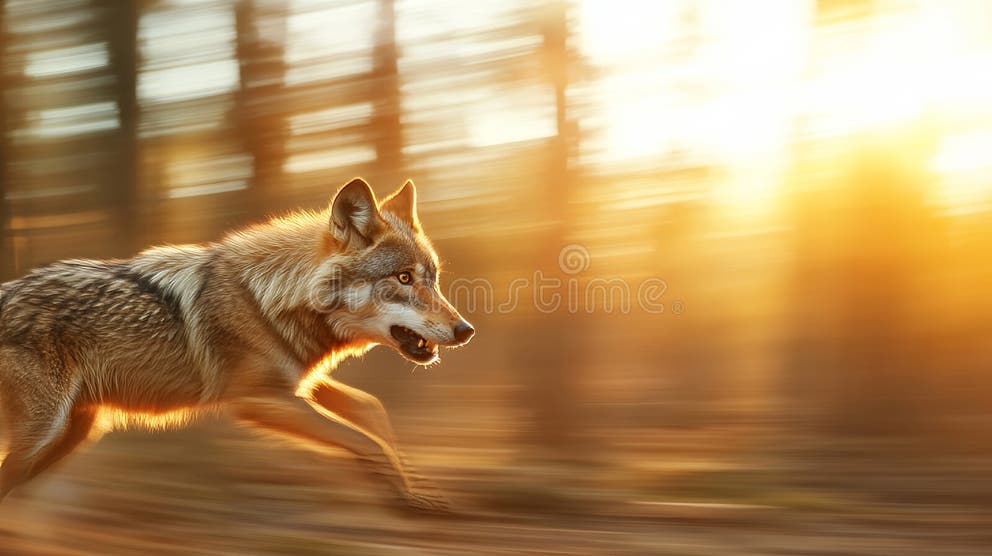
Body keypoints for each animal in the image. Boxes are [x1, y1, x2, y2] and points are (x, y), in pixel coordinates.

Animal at [0, 178, 474, 511]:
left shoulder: (298, 384)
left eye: (432, 277)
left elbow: (371, 413)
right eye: (403, 278)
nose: (465, 330)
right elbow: (361, 439)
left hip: (72, 433)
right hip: (46, 430)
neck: (265, 297)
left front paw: (410, 486)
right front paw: (400, 496)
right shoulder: (258, 399)